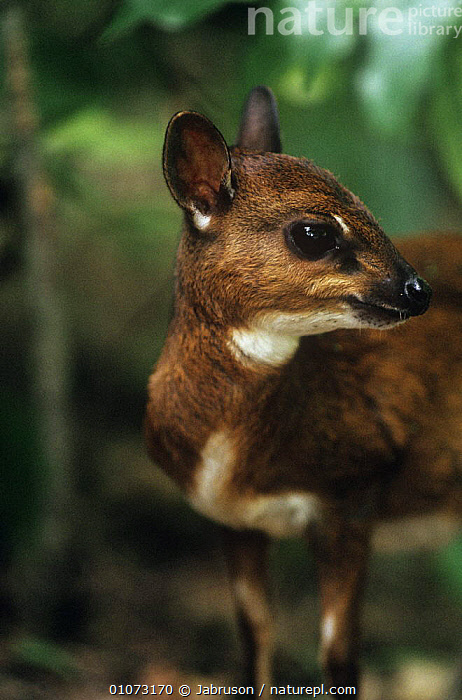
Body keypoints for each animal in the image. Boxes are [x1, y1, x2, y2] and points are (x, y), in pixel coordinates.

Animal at [145, 86, 461, 694]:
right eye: (313, 233)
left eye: (366, 203)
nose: (418, 289)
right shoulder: (232, 520)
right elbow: (255, 642)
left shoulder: (352, 491)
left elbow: (339, 658)